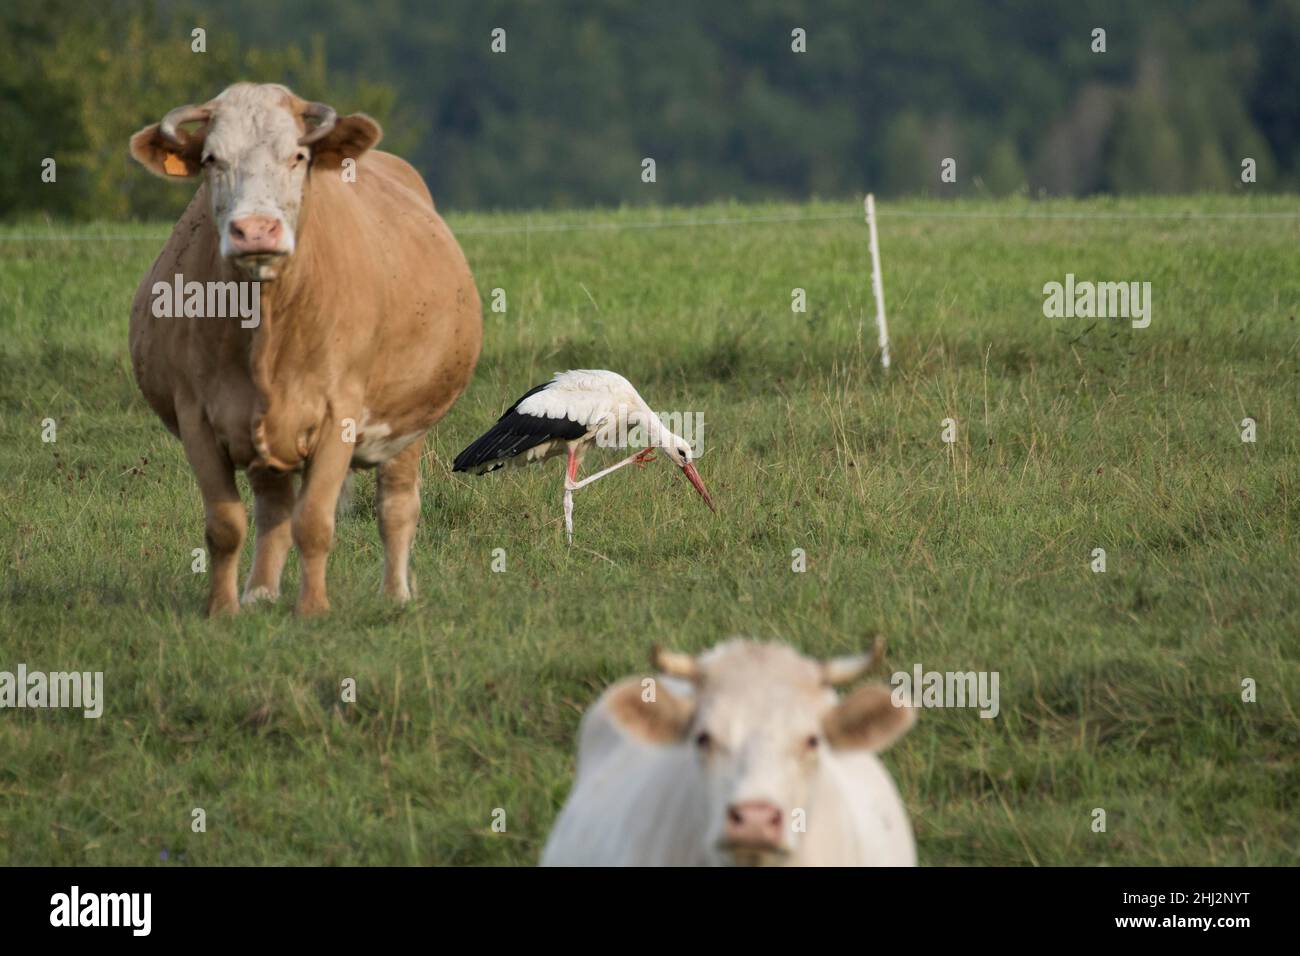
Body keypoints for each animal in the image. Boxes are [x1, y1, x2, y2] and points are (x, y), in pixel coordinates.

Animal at [128, 83, 481, 615]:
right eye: (211, 159)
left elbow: (313, 521)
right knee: (272, 508)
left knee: (396, 506)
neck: (267, 321)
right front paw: (222, 610)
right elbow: (226, 525)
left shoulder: (340, 414)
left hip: (409, 425)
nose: (256, 230)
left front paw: (313, 609)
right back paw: (260, 593)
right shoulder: (197, 417)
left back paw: (395, 594)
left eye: (297, 156)